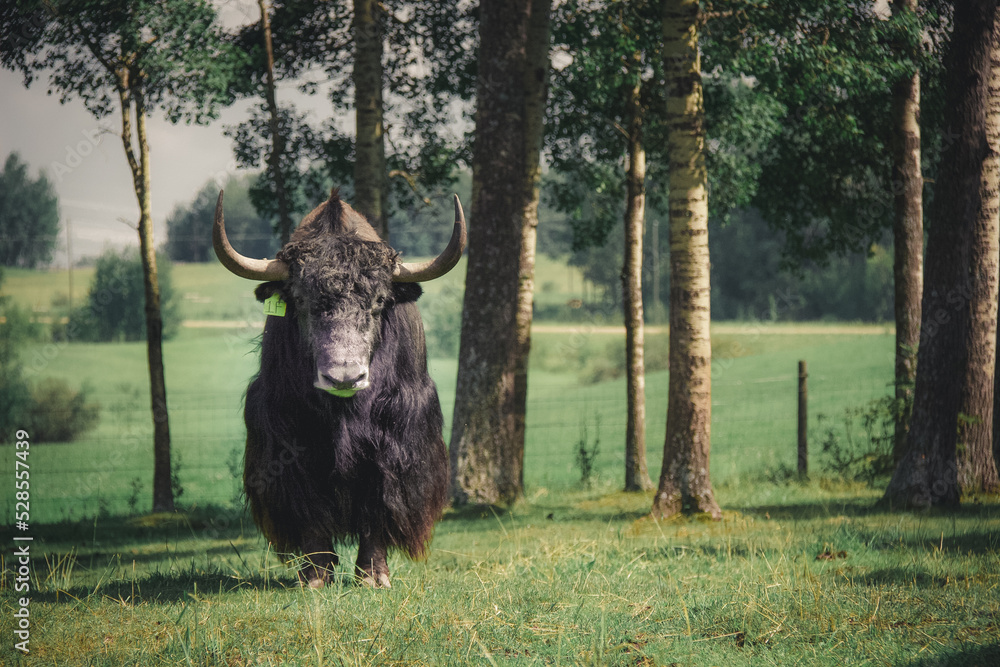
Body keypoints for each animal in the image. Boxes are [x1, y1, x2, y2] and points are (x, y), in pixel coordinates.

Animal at [212, 189, 465, 588]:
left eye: (379, 302)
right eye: (302, 301)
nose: (344, 378)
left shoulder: (395, 441)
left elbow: (380, 500)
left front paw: (374, 577)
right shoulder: (286, 438)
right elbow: (308, 504)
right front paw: (316, 578)